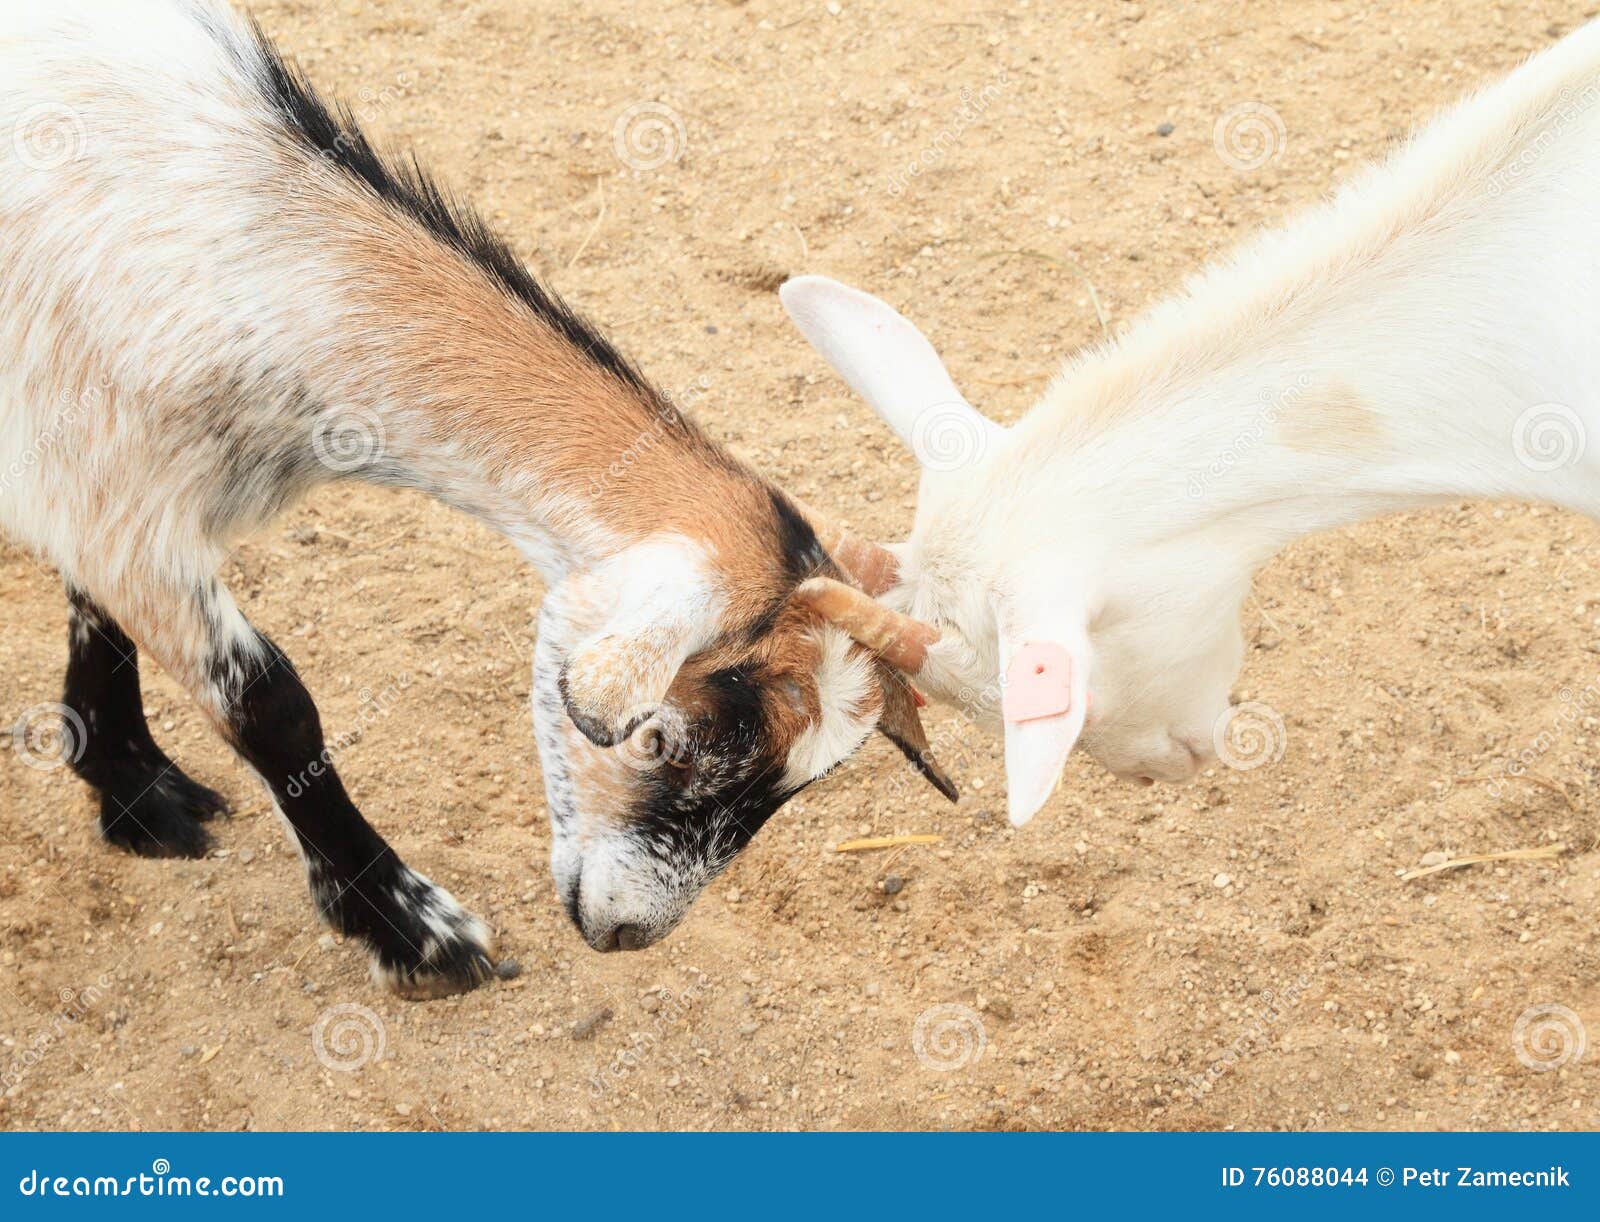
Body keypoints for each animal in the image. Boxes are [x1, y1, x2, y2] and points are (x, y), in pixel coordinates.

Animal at [0, 0, 952, 997]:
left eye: (798, 782)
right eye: (657, 739)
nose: (628, 932)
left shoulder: (93, 488)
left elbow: (95, 614)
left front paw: (131, 788)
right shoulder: (123, 506)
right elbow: (272, 707)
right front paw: (415, 932)